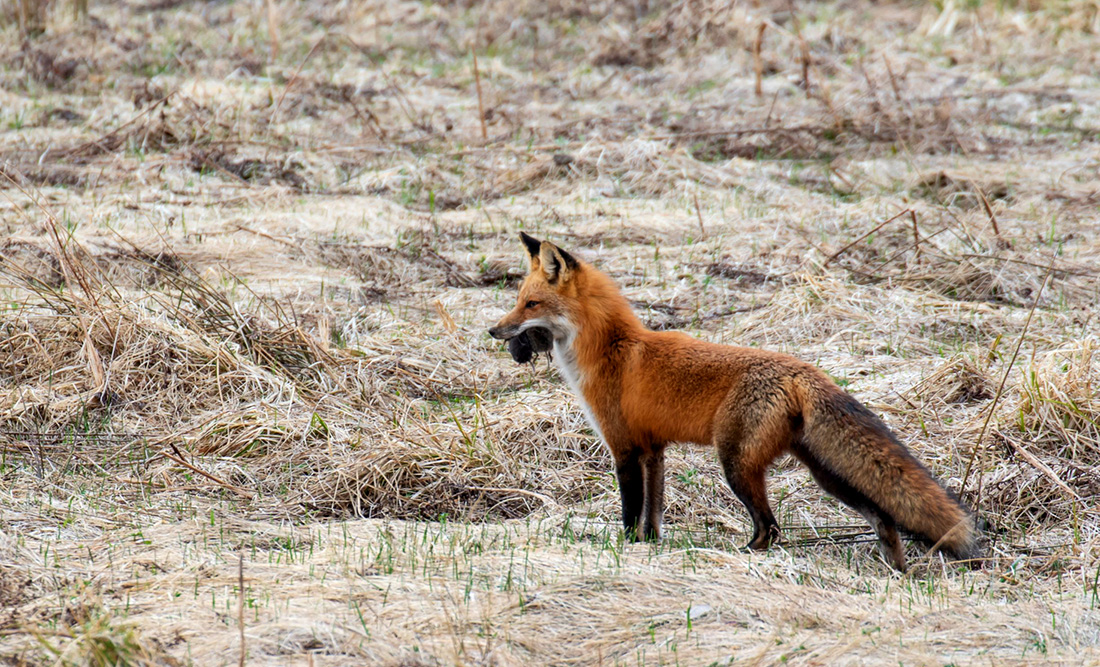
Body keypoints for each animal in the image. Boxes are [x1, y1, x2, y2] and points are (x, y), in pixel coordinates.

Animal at [488, 232, 983, 572]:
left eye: (530, 304)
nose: (494, 331)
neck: (610, 349)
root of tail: (802, 369)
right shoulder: (654, 451)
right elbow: (654, 515)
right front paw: (650, 548)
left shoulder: (624, 448)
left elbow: (631, 513)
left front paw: (624, 550)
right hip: (825, 472)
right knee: (882, 515)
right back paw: (896, 569)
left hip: (737, 464)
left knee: (771, 527)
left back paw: (743, 555)